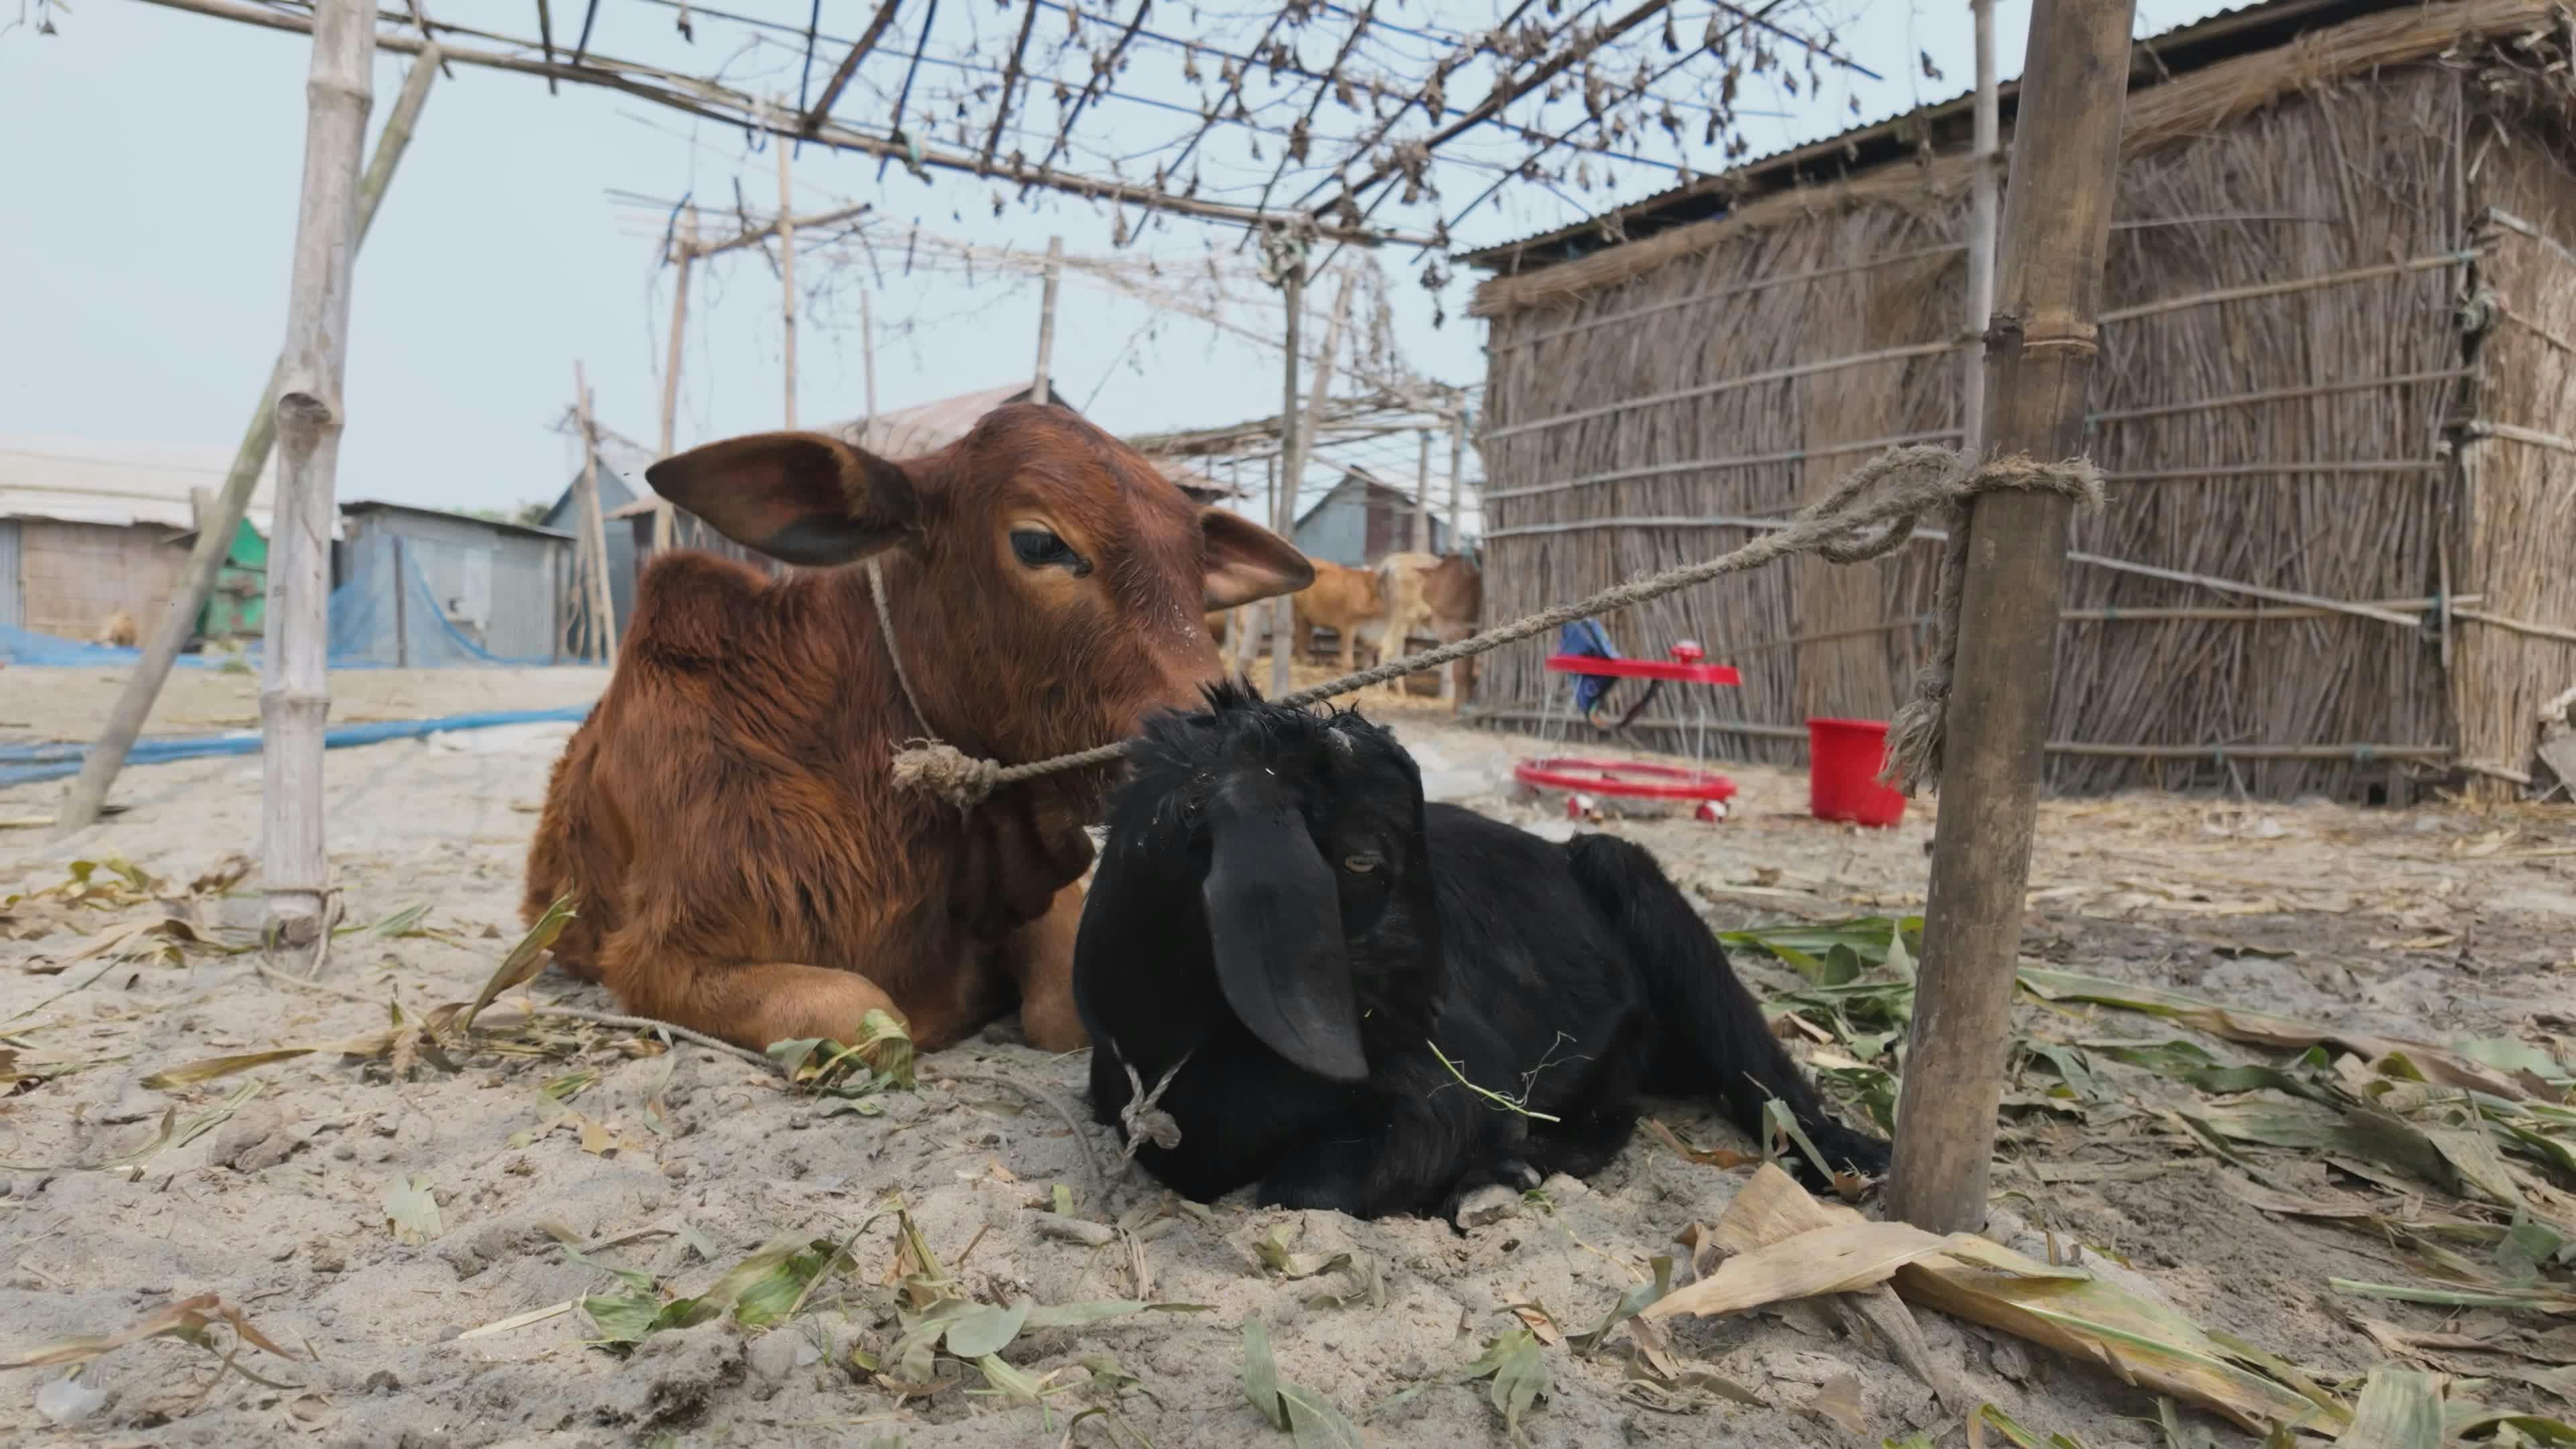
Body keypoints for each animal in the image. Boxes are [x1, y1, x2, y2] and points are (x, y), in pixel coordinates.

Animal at [522, 405, 1312, 1056]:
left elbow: (1063, 1011)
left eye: (1196, 565)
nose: (1239, 745)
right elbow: (867, 1017)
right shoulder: (657, 956)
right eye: (1039, 542)